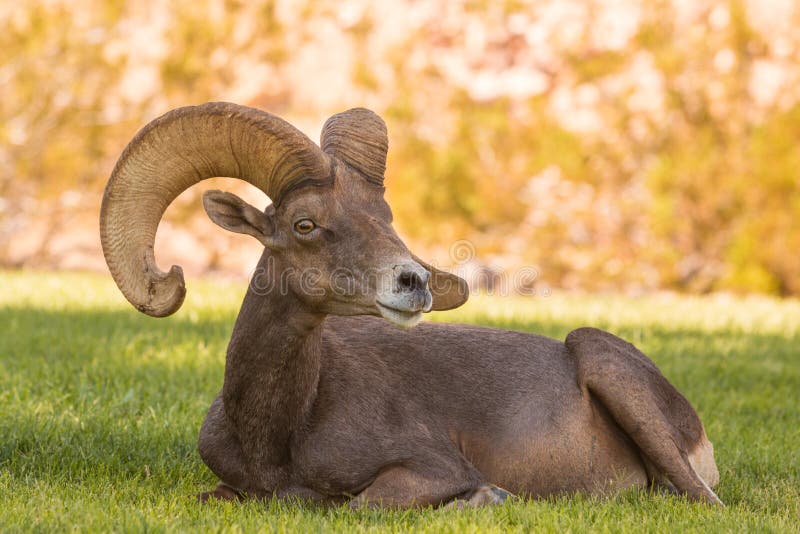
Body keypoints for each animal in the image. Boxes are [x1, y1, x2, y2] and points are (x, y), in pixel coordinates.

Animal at [100, 102, 721, 507]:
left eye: (386, 217)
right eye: (305, 224)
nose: (413, 281)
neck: (277, 432)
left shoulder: (428, 469)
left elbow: (355, 507)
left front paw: (487, 497)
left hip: (602, 361)